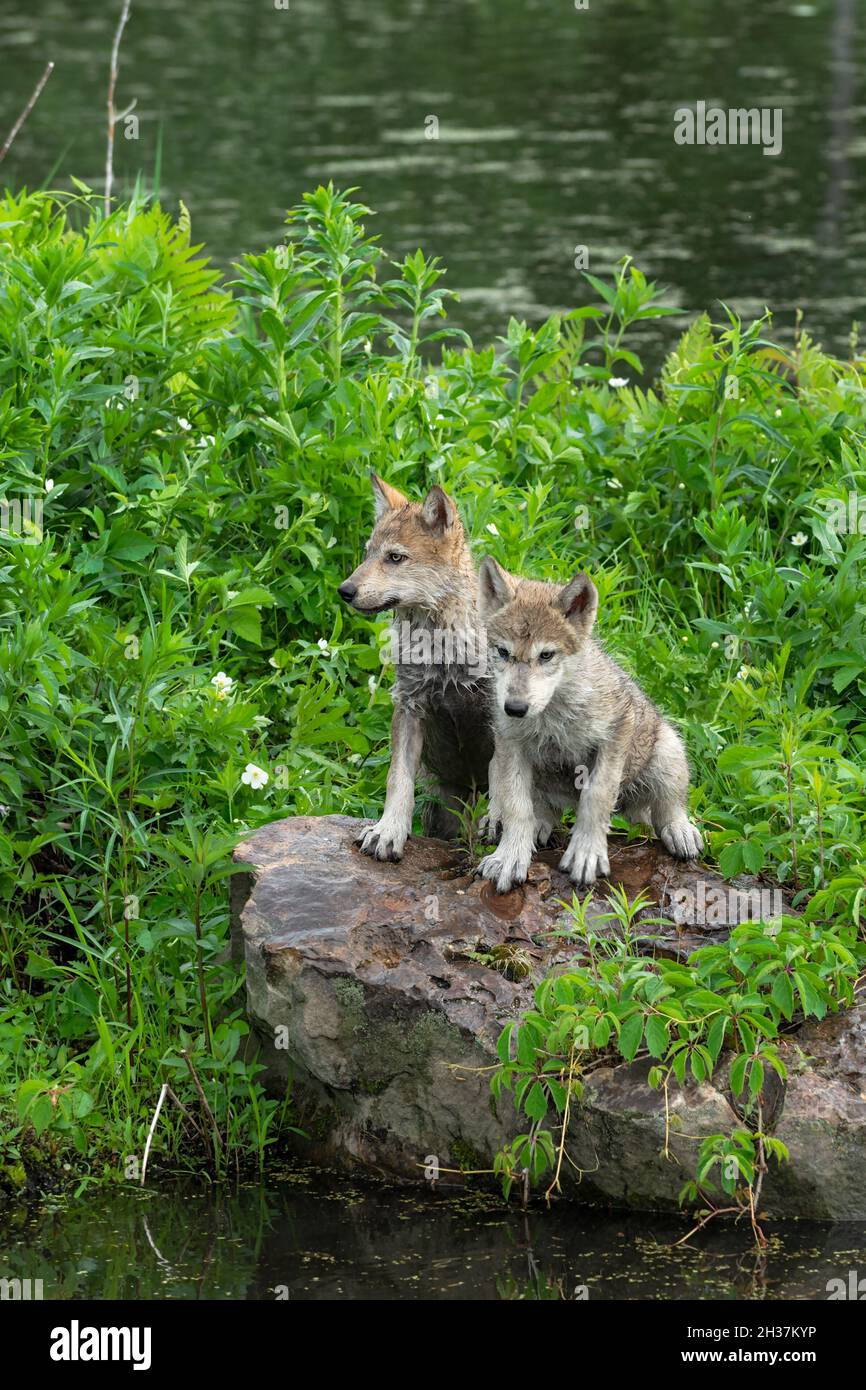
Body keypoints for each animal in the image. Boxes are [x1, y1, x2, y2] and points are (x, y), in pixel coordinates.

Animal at [476, 556, 703, 892]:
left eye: (546, 655)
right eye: (503, 652)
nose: (515, 708)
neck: (553, 714)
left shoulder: (616, 732)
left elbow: (596, 799)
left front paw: (586, 855)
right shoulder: (510, 743)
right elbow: (517, 806)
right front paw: (508, 857)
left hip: (667, 750)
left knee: (668, 810)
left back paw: (681, 832)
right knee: (535, 807)